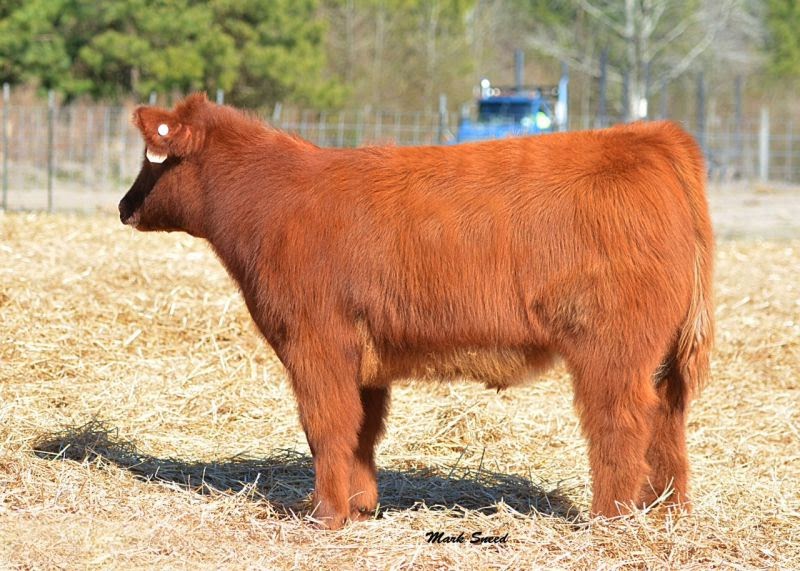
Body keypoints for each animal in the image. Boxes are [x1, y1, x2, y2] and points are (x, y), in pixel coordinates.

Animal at [119, 93, 714, 530]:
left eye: (154, 159)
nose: (124, 206)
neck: (274, 201)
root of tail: (650, 136)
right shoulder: (362, 360)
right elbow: (361, 432)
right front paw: (360, 506)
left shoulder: (316, 344)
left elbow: (325, 426)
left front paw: (325, 515)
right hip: (662, 361)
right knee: (667, 423)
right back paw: (670, 513)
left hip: (612, 354)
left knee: (621, 424)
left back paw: (611, 519)